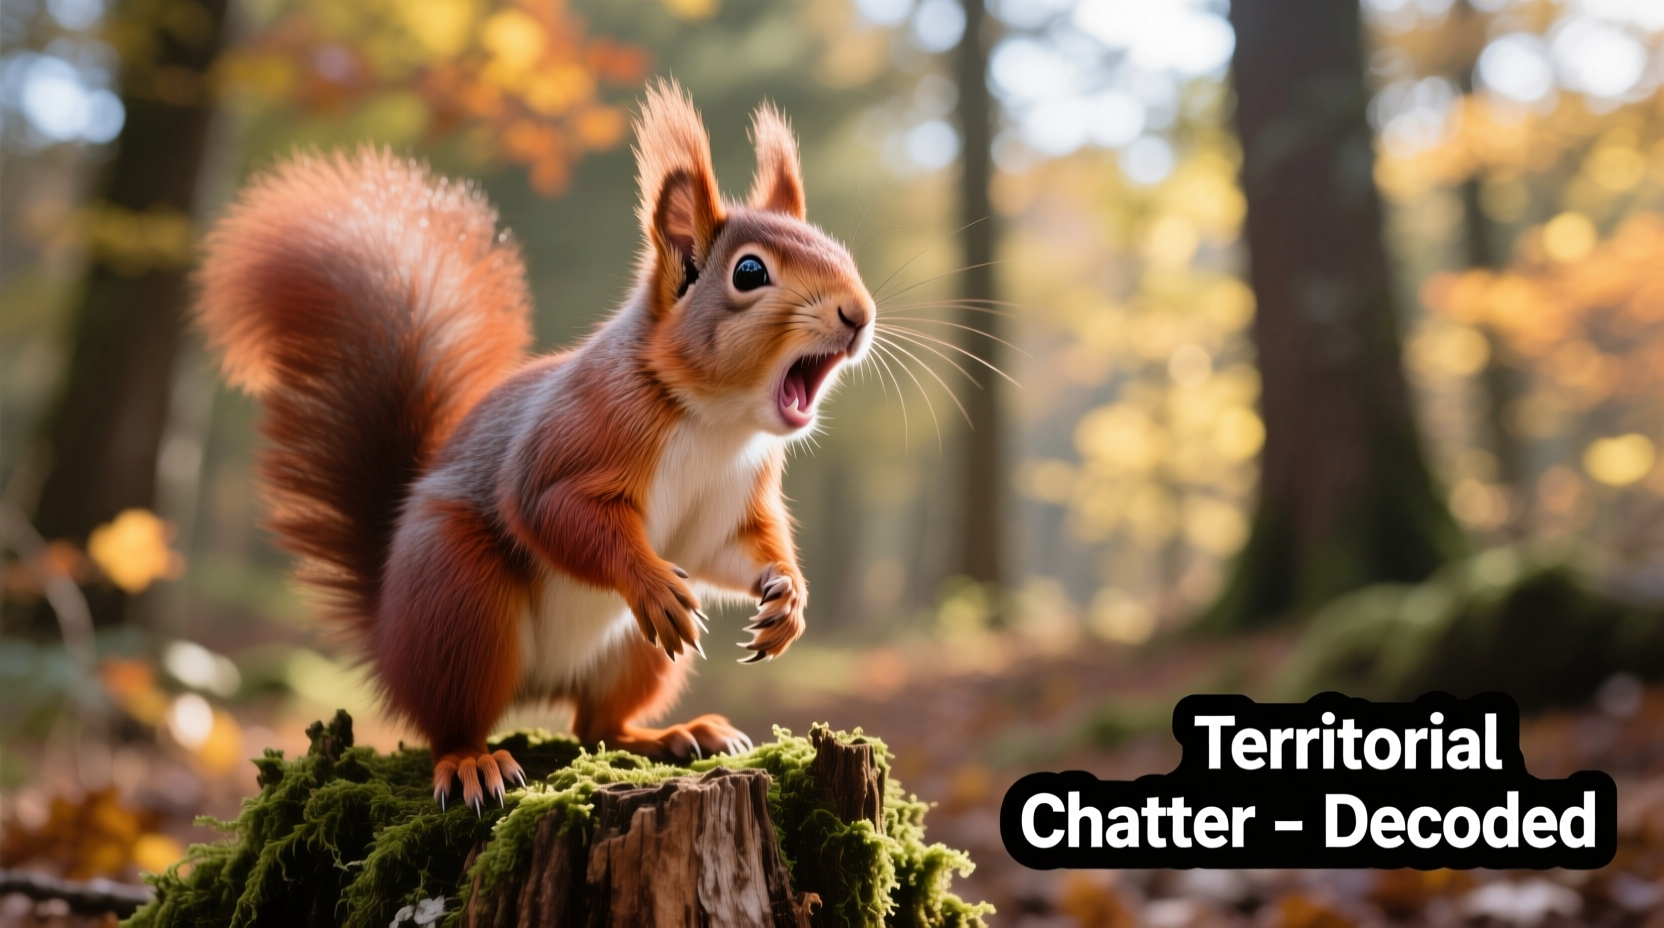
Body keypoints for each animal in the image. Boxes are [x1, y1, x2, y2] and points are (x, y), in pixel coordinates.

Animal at [196, 81, 873, 812]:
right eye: (749, 272)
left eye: (841, 250)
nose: (859, 313)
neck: (715, 420)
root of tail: (387, 639)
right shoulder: (577, 434)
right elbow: (552, 510)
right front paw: (647, 579)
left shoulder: (730, 504)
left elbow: (734, 549)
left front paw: (787, 597)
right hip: (458, 598)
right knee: (453, 721)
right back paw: (473, 761)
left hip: (631, 654)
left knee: (597, 724)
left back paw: (673, 734)